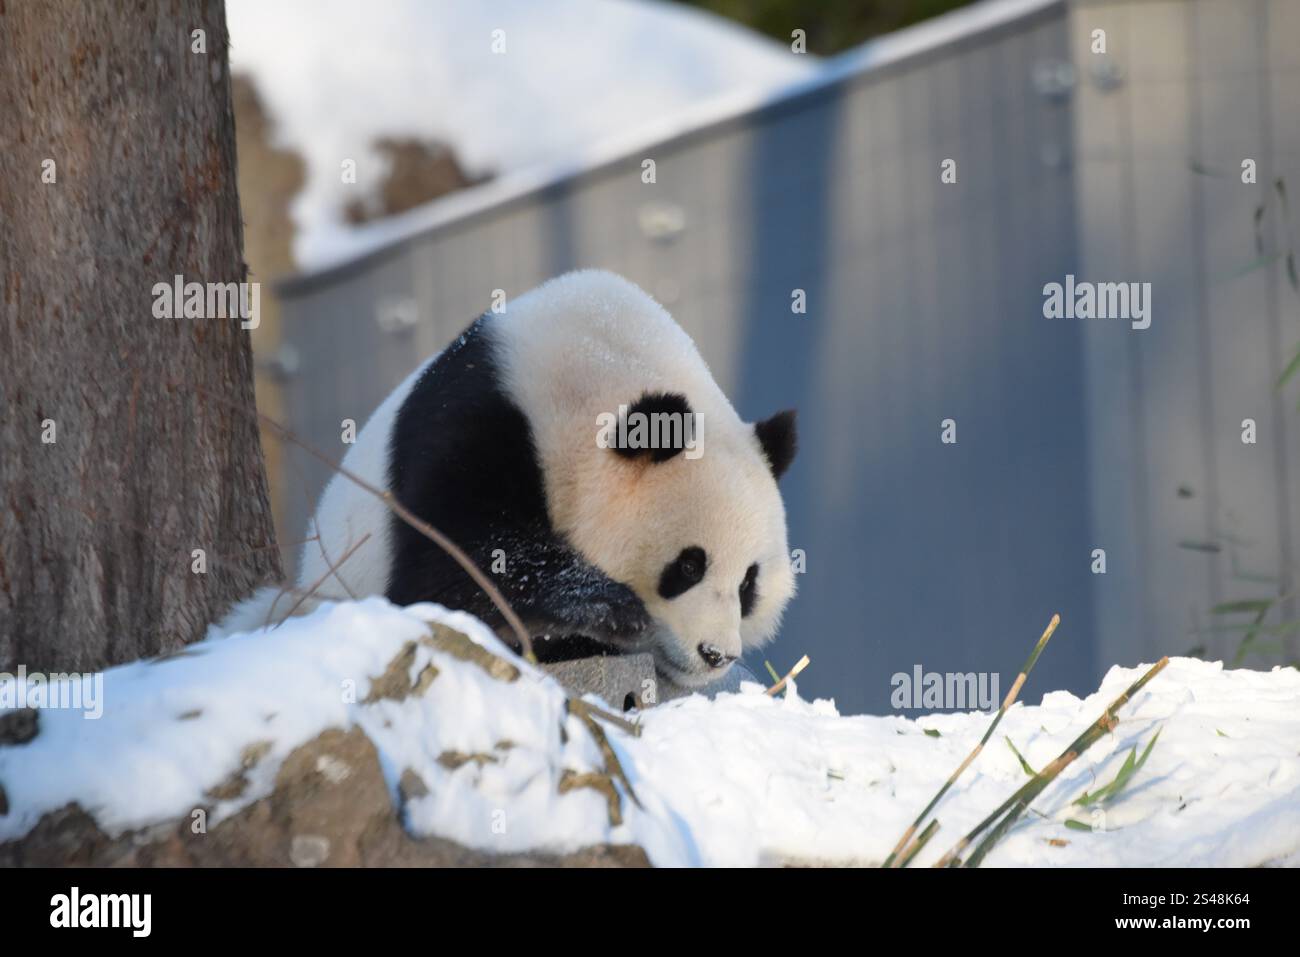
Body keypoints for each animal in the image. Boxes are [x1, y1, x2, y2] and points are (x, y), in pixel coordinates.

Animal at [219, 270, 798, 689]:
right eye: (688, 566)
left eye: (748, 584)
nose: (716, 654)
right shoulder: (482, 420)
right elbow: (449, 571)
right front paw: (604, 606)